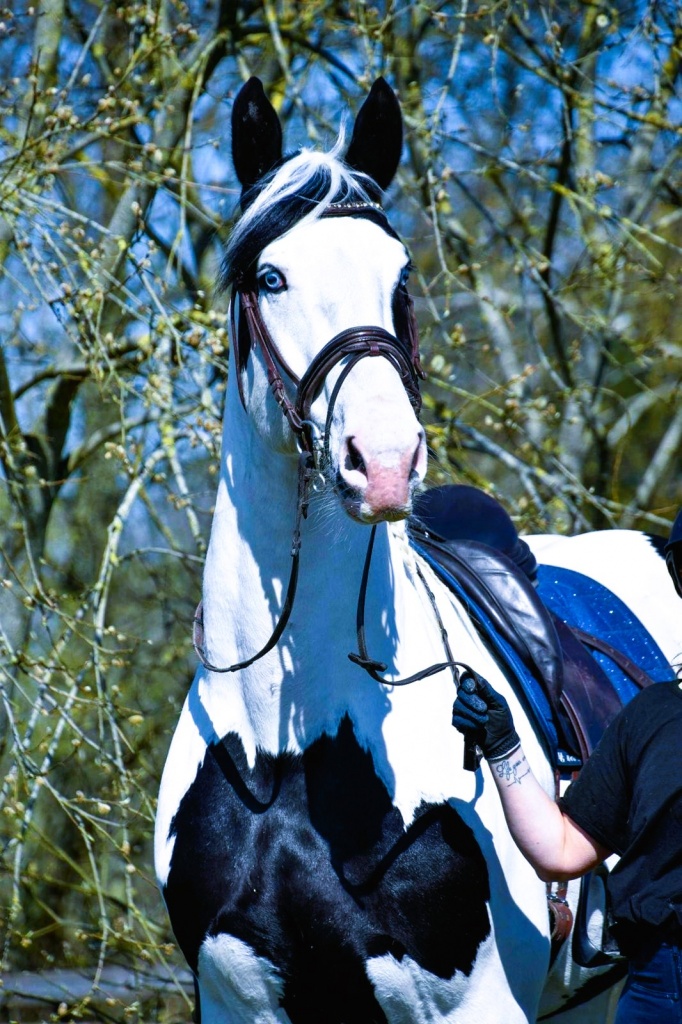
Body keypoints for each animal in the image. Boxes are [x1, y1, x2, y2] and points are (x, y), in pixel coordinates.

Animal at [154, 77, 682, 1023]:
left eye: (398, 276)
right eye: (269, 277)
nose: (388, 461)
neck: (292, 756)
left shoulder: (480, 1006)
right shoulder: (236, 1002)